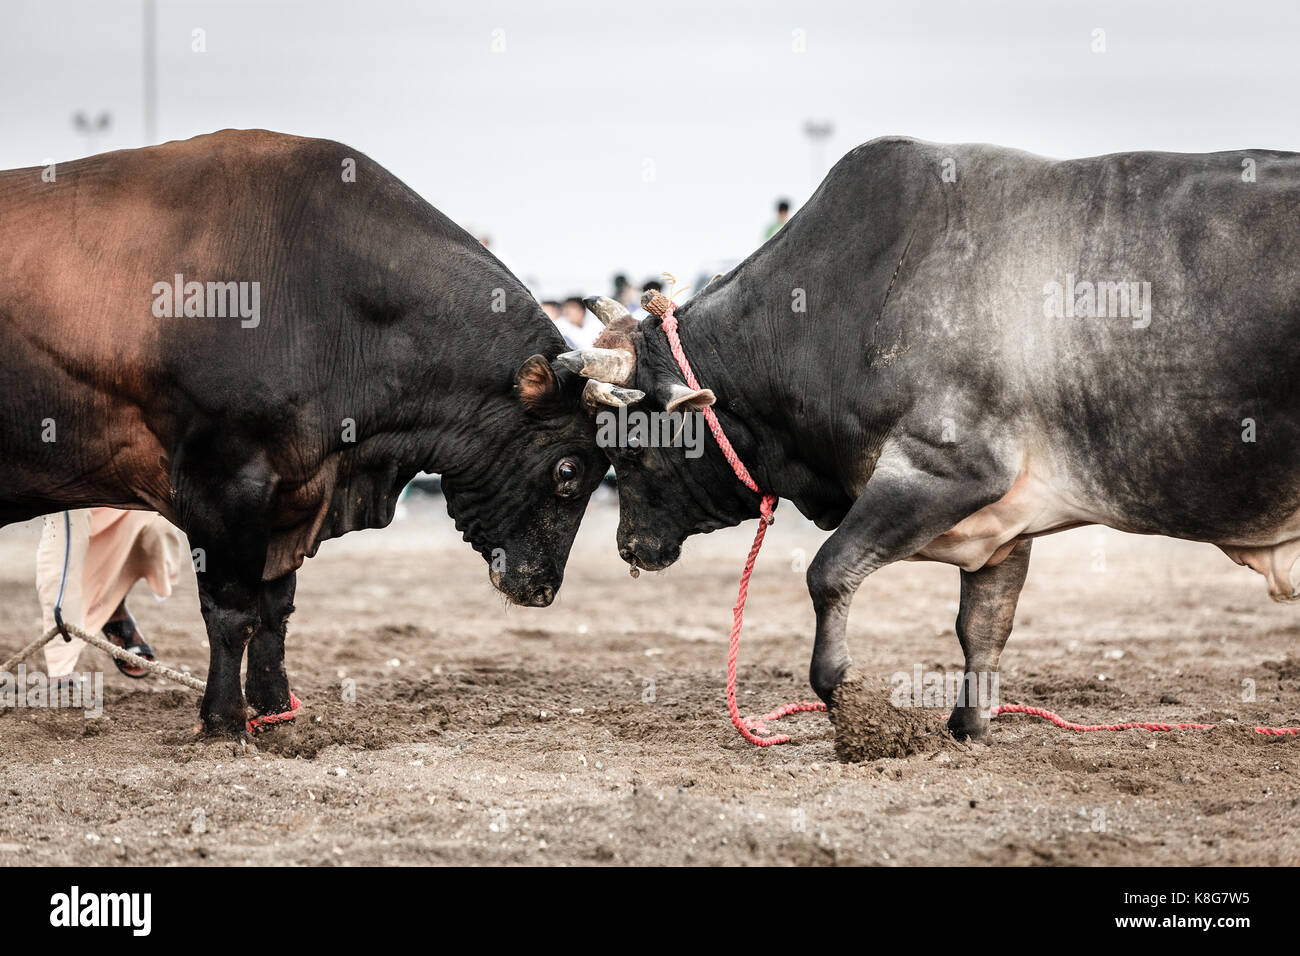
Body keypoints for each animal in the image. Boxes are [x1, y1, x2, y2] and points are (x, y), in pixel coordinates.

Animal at [0, 130, 607, 736]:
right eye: (568, 469)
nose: (543, 588)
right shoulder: (222, 480)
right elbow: (232, 612)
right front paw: (222, 722)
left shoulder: (292, 493)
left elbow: (274, 613)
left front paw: (272, 709)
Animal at [568, 136, 1300, 739]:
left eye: (628, 449)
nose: (629, 546)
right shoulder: (1005, 521)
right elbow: (984, 624)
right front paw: (968, 725)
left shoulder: (945, 470)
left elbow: (829, 571)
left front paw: (844, 696)